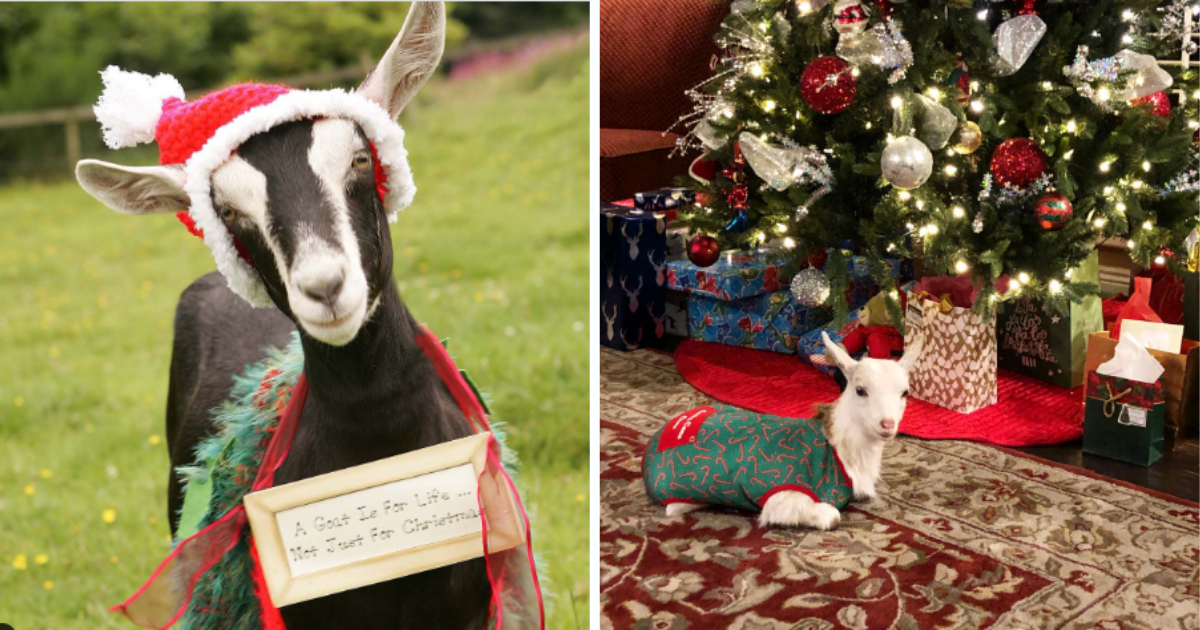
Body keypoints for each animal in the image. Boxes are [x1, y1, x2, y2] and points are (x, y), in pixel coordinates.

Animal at [643, 331, 923, 530]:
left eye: (905, 393)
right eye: (860, 390)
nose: (887, 424)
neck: (839, 453)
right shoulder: (781, 497)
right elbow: (831, 516)